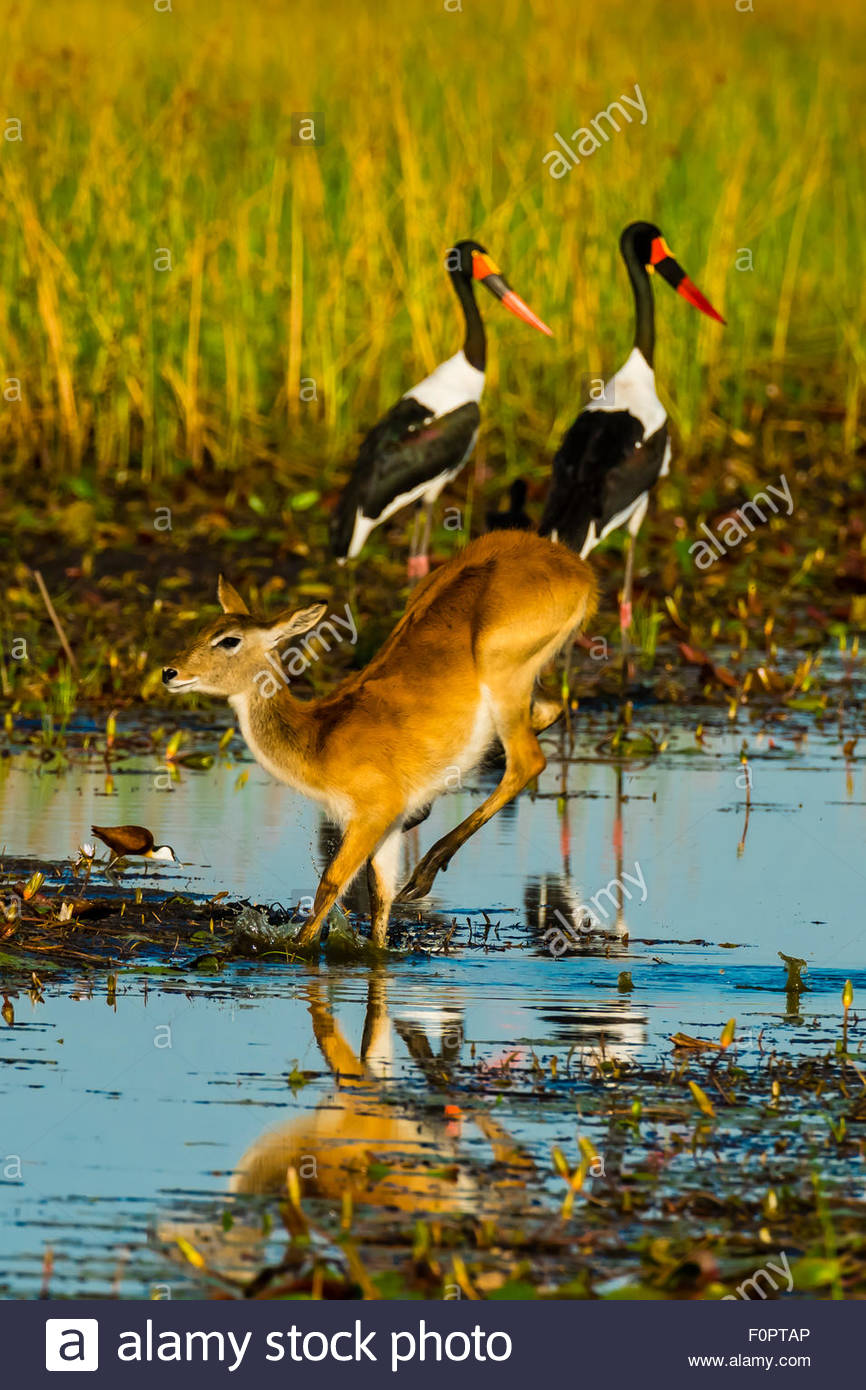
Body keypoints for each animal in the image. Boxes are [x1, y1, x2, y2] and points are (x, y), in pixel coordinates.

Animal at [162, 530, 596, 949]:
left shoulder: (371, 816)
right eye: (202, 630)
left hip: (503, 674)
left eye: (229, 639)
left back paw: (425, 872)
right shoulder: (384, 831)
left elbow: (329, 886)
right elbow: (379, 905)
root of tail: (576, 568)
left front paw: (295, 949)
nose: (169, 671)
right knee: (551, 711)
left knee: (528, 761)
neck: (318, 738)